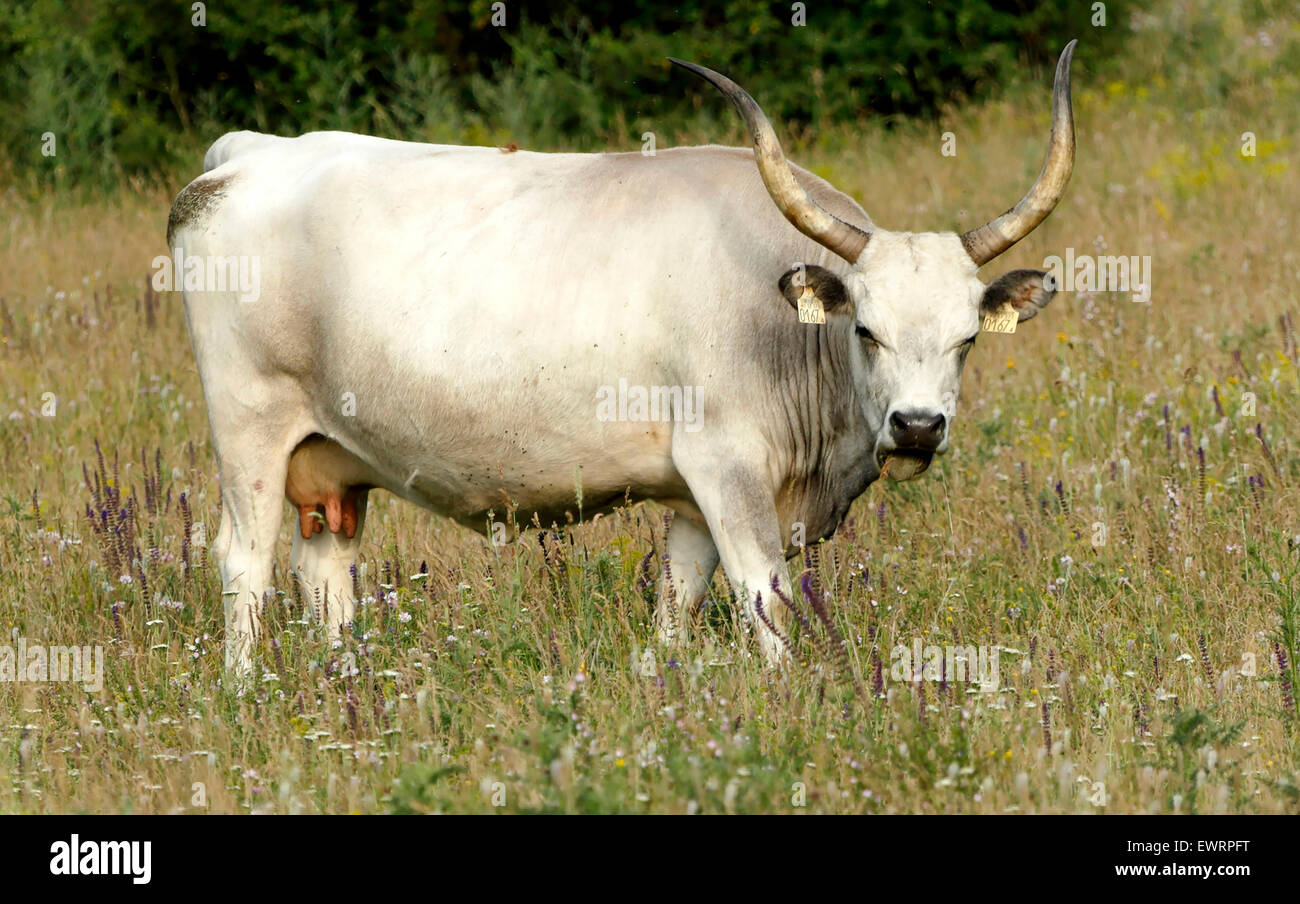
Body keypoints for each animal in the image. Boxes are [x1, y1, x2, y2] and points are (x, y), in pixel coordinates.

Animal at [169, 42, 1077, 673]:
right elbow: (768, 601)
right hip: (249, 427)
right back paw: (248, 693)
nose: (918, 427)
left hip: (332, 463)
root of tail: (249, 153)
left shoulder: (691, 499)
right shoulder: (728, 468)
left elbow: (678, 605)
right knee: (243, 562)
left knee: (325, 571)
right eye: (867, 331)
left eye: (967, 339)